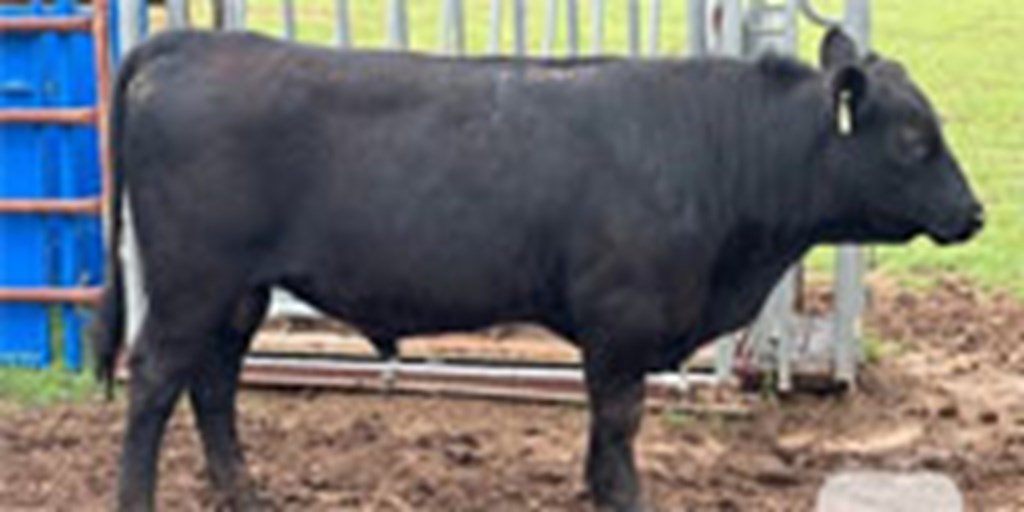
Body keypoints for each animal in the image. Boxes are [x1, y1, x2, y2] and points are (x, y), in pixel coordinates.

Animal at [93, 27, 983, 511]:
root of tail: (194, 43)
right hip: (191, 285)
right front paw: (624, 496)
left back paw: (243, 491)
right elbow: (620, 419)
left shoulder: (610, 331)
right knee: (156, 380)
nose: (974, 213)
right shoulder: (623, 320)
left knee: (214, 384)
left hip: (237, 293)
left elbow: (601, 420)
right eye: (912, 138)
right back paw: (139, 498)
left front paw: (594, 488)